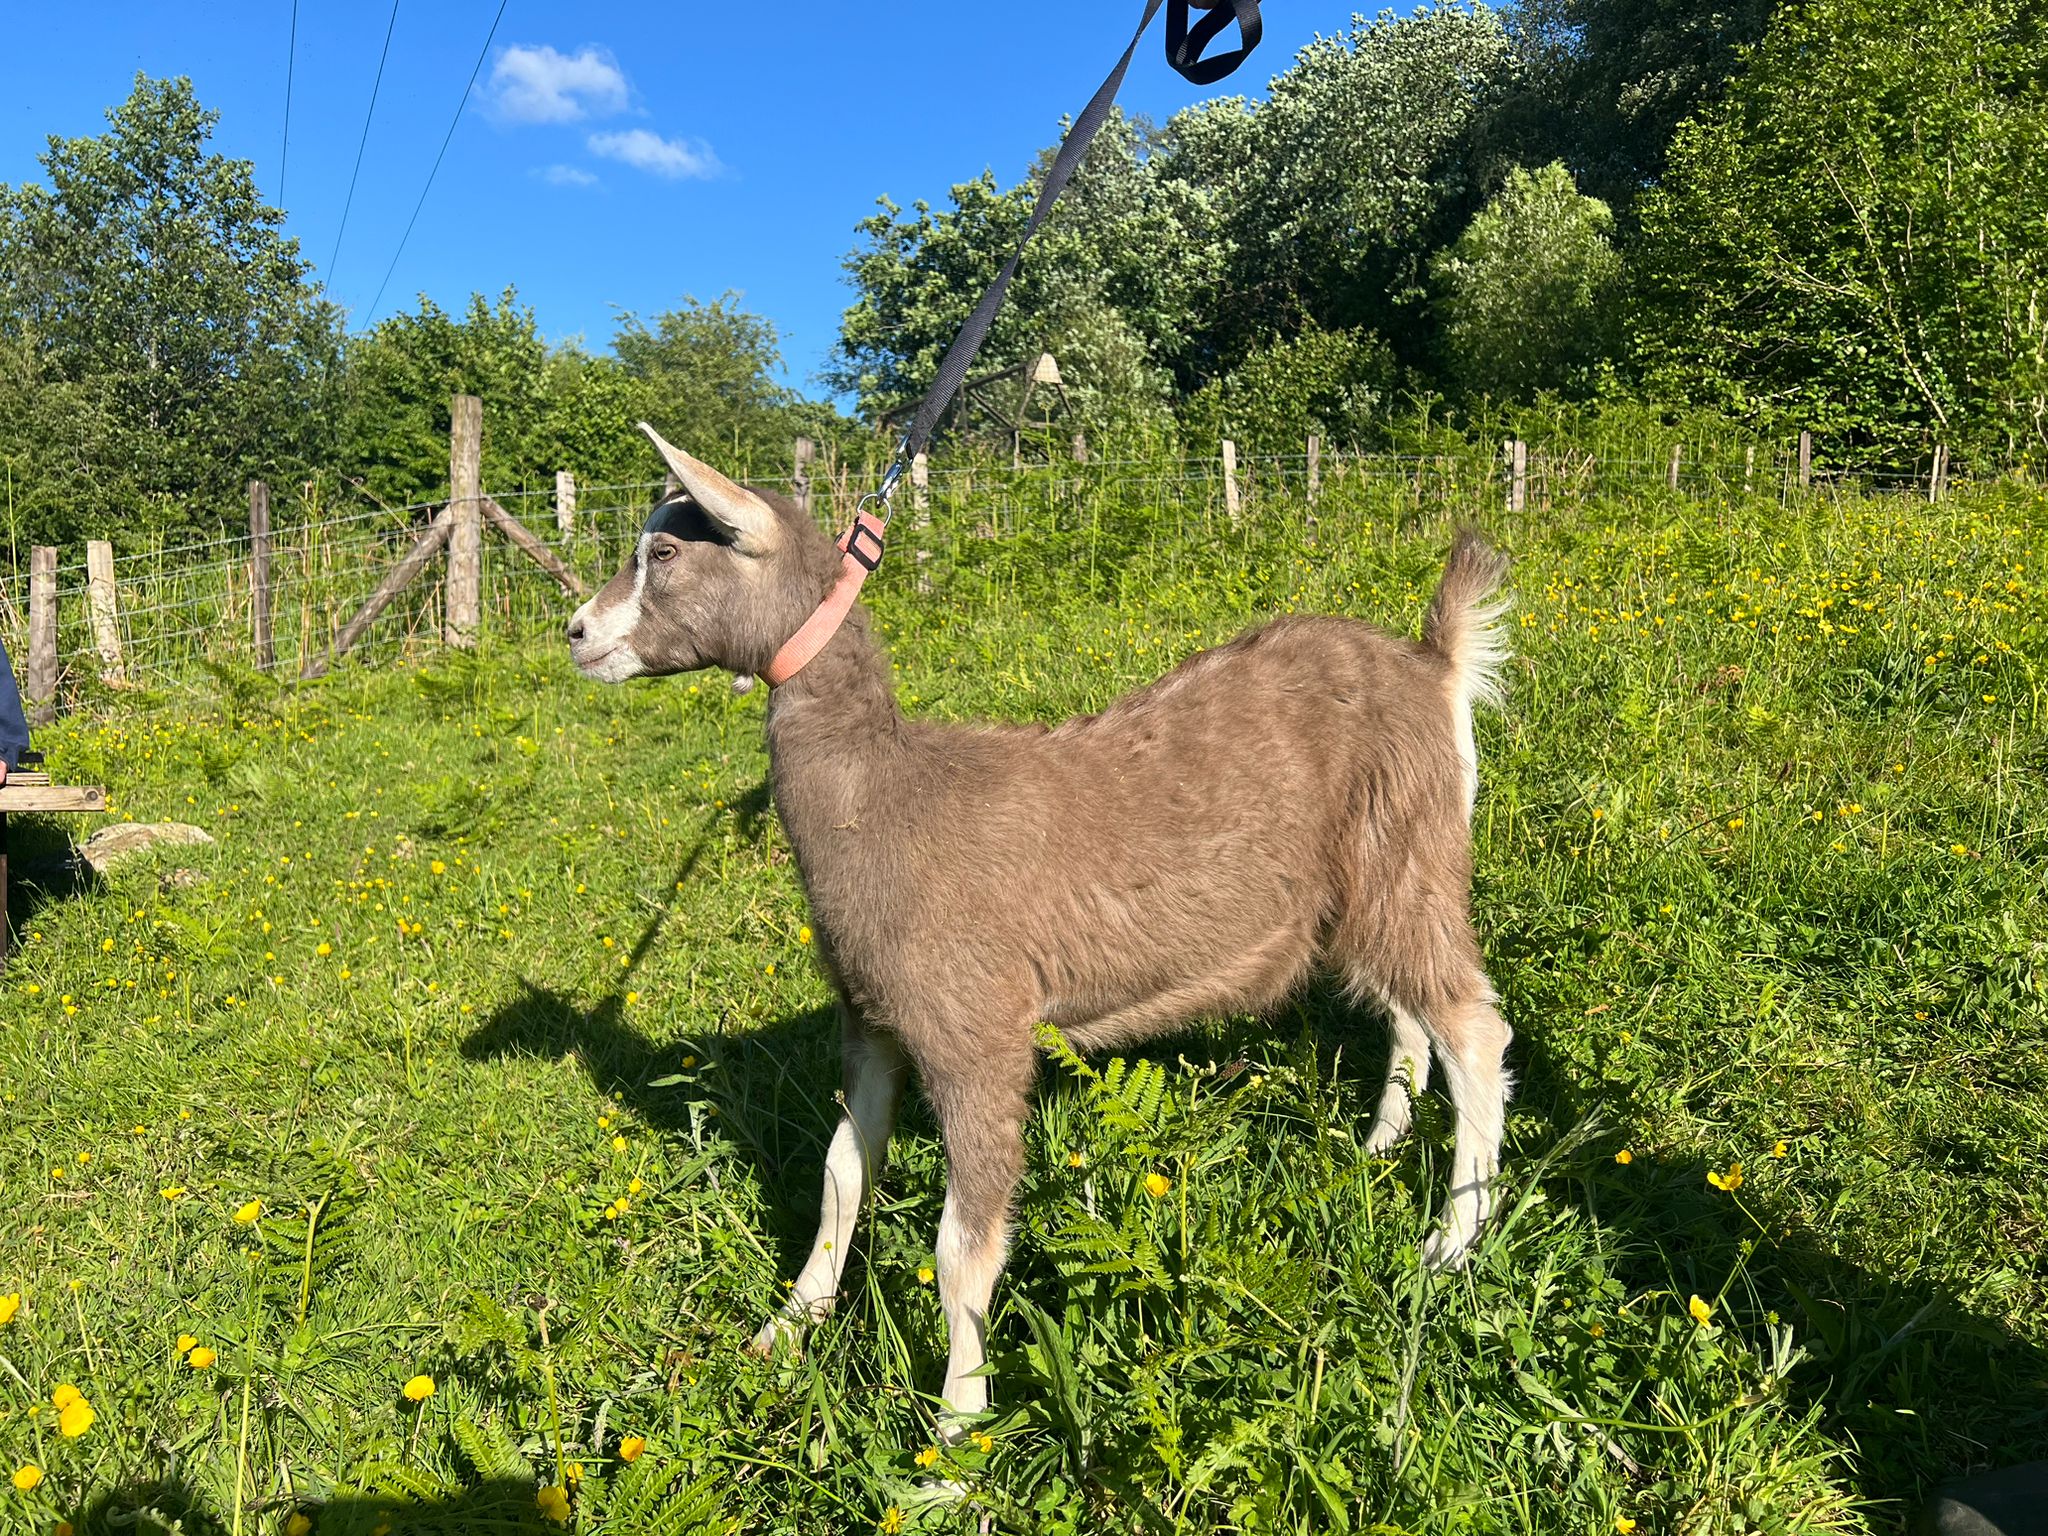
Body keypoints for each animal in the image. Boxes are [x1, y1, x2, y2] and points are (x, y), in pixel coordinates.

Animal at [566, 425, 1515, 1428]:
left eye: (666, 553)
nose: (577, 633)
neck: (887, 796)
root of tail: (1437, 666)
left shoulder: (976, 1034)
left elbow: (961, 1249)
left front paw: (957, 1428)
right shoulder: (874, 1021)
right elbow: (838, 1178)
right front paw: (789, 1326)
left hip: (1407, 845)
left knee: (1473, 1027)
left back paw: (1451, 1242)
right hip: (1368, 884)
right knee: (1410, 1008)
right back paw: (1380, 1145)